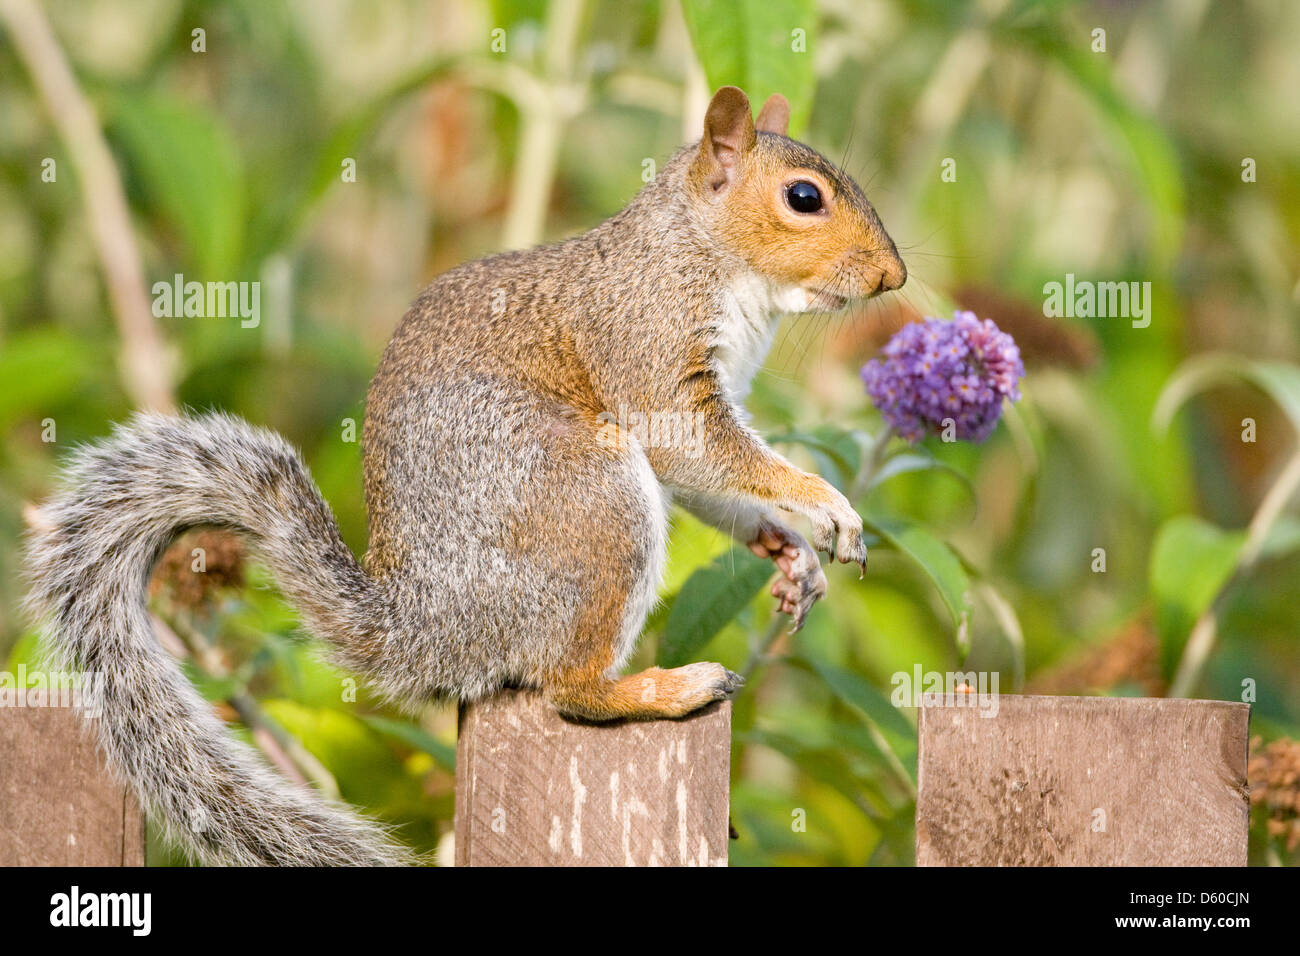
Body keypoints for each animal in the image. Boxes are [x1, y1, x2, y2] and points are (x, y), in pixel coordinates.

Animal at [23, 86, 905, 866]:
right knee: (565, 691)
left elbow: (712, 484)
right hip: (590, 500)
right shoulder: (650, 341)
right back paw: (662, 690)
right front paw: (827, 503)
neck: (705, 252)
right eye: (803, 197)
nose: (892, 278)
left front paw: (789, 551)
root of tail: (424, 626)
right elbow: (704, 450)